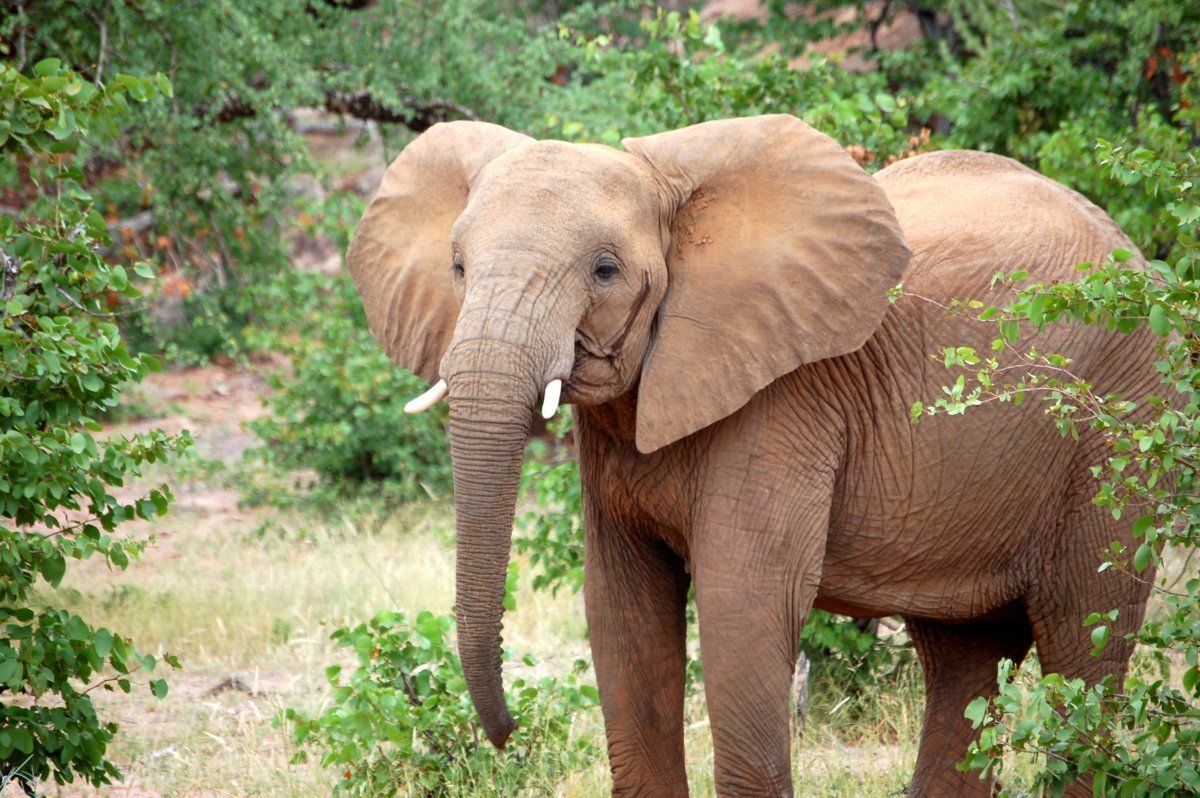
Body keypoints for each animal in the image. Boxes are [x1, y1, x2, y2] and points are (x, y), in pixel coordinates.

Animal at [343, 113, 1156, 796]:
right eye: (456, 266)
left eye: (605, 270)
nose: (508, 733)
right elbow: (623, 611)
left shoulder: (785, 403)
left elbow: (743, 604)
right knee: (964, 660)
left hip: (1118, 431)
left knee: (1085, 639)